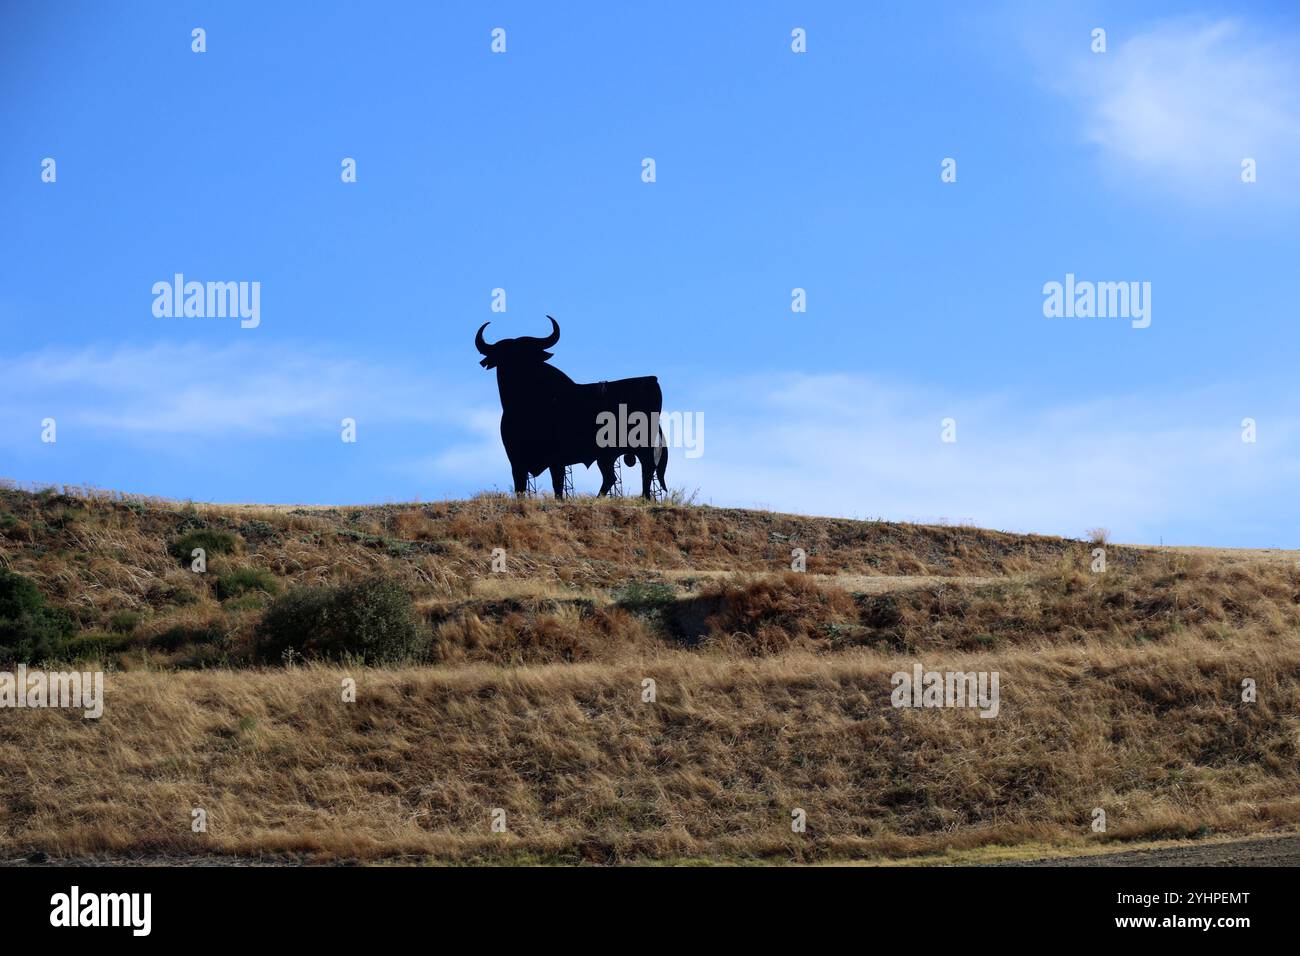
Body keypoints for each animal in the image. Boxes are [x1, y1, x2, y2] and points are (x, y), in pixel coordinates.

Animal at [475, 316, 668, 499]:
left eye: (528, 355)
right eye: (504, 356)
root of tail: (652, 380)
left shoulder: (557, 458)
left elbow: (557, 484)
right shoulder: (516, 460)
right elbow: (520, 487)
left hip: (642, 444)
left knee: (647, 468)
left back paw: (644, 498)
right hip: (606, 455)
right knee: (611, 477)